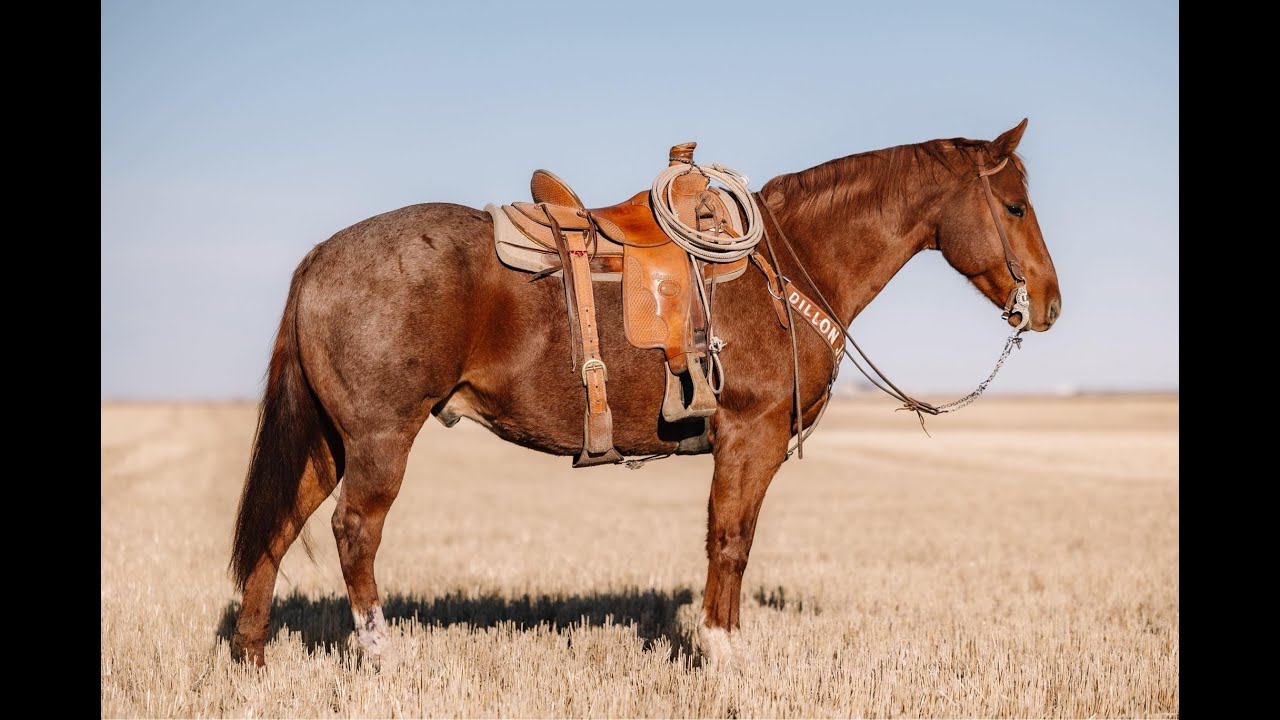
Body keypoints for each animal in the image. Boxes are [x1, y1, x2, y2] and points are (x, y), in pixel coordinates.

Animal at [228, 119, 1062, 667]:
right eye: (1014, 207)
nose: (1049, 305)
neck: (790, 265)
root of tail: (320, 256)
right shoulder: (750, 436)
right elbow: (731, 539)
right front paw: (724, 654)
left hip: (330, 439)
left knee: (281, 524)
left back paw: (254, 658)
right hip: (379, 437)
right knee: (353, 531)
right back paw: (379, 653)